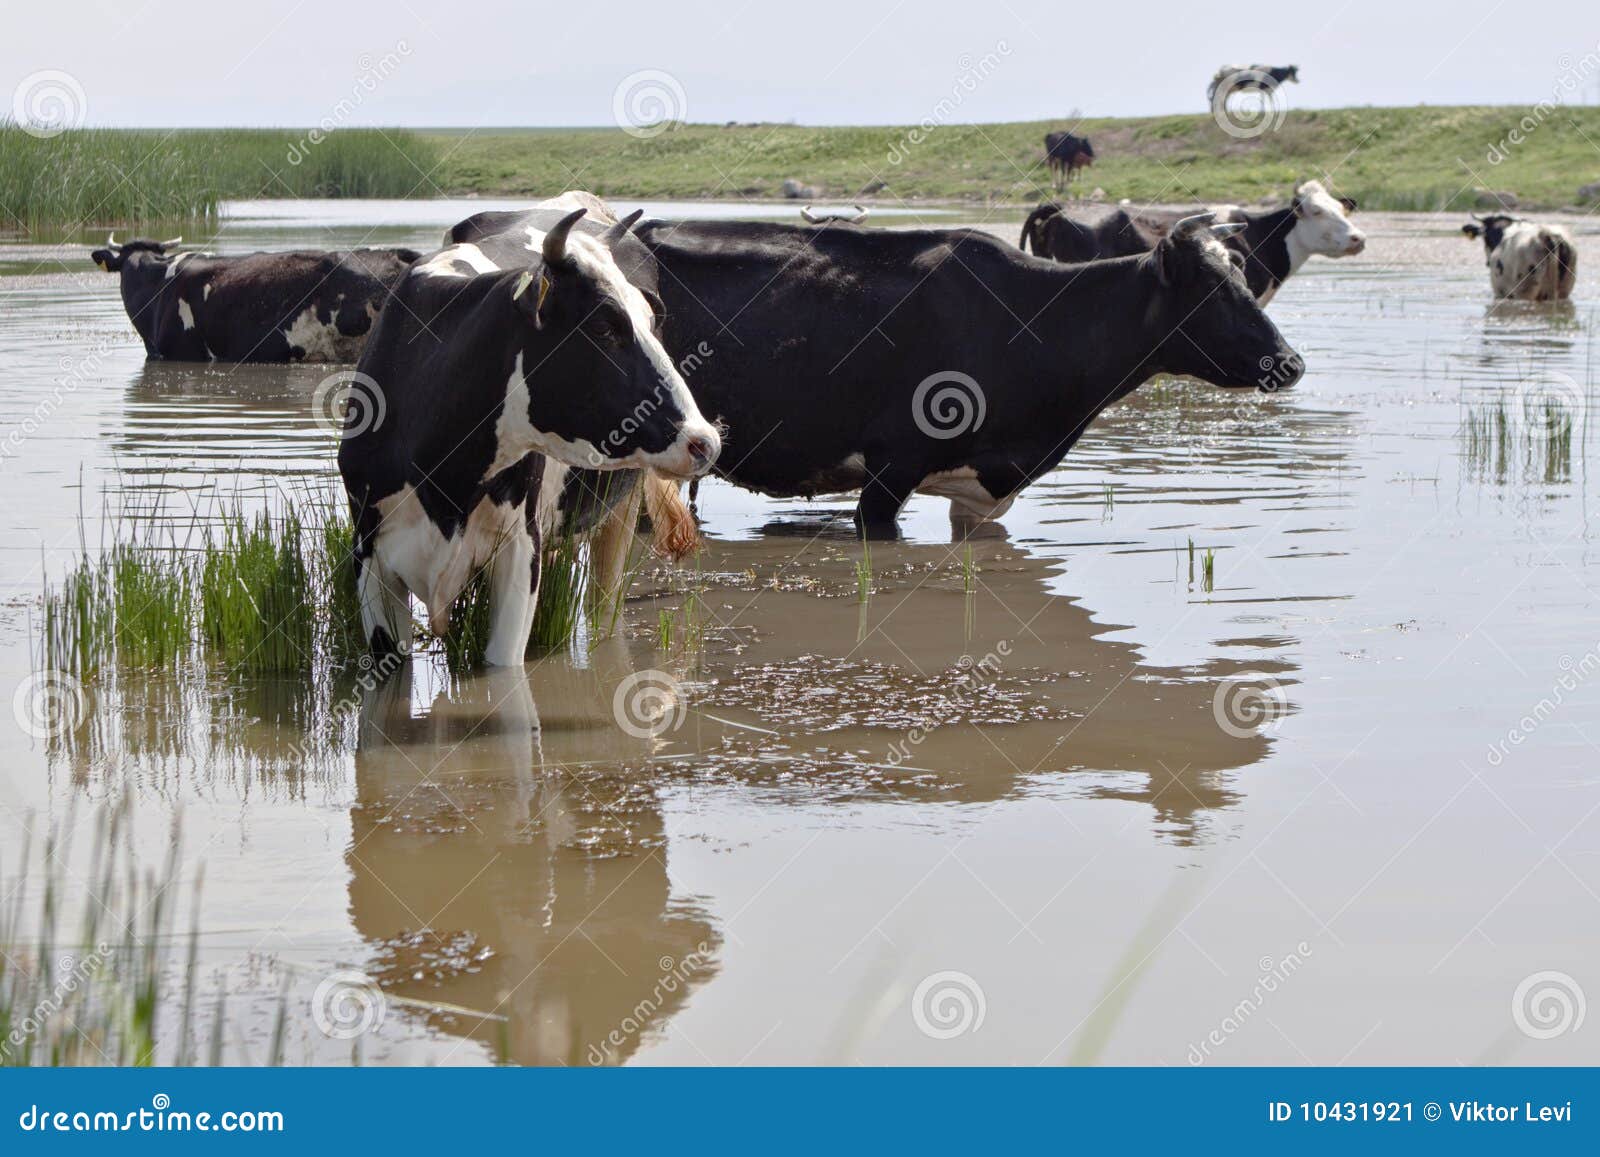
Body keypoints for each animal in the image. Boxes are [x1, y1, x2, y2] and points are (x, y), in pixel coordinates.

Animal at [338, 206, 721, 666]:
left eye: (650, 320)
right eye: (604, 327)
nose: (704, 441)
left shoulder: (522, 551)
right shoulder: (369, 555)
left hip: (620, 513)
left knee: (604, 609)